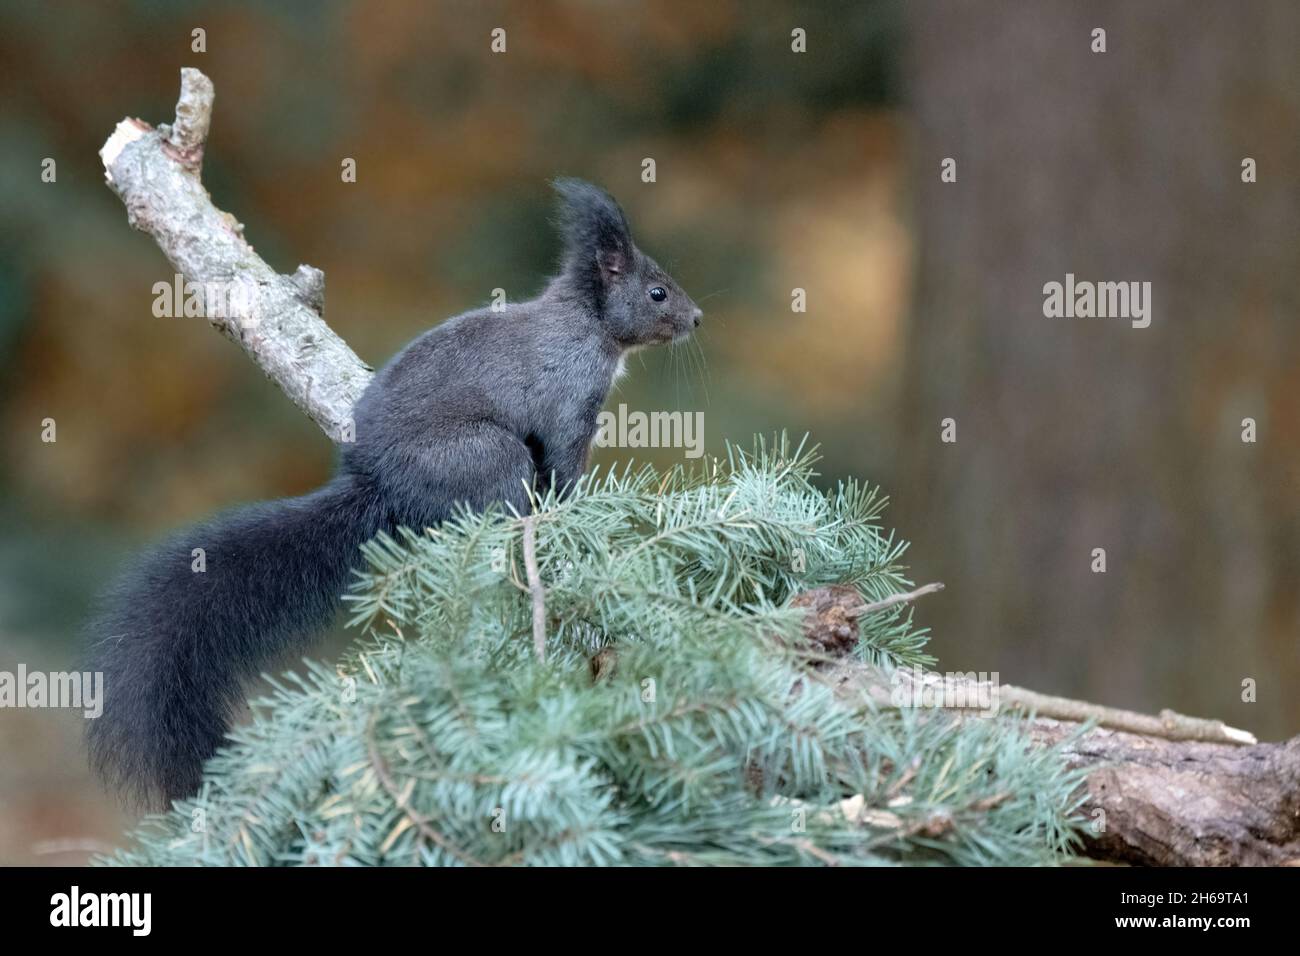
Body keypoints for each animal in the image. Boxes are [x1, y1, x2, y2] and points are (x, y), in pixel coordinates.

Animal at [86, 178, 703, 806]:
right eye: (657, 292)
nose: (697, 318)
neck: (587, 324)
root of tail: (378, 483)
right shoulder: (569, 402)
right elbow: (563, 465)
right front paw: (578, 511)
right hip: (485, 455)